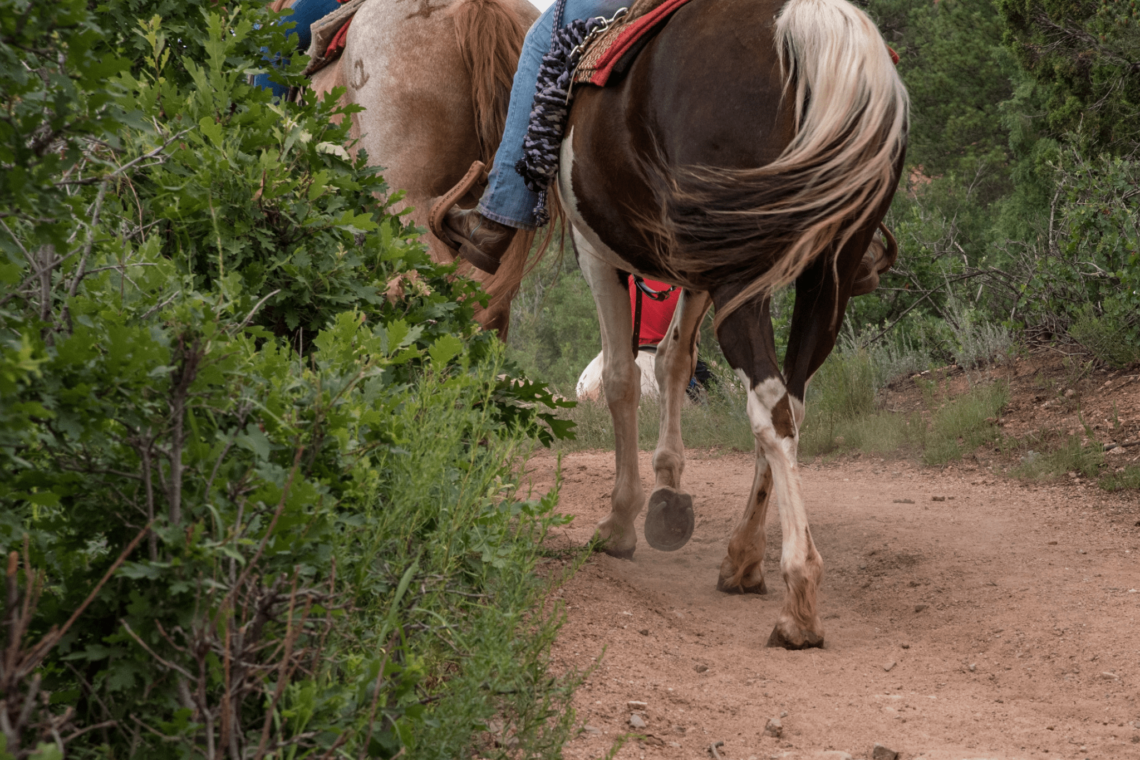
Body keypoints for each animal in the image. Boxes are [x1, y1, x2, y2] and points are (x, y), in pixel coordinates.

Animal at [556, 0, 908, 649]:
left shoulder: (598, 252)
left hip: (743, 277)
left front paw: (620, 521)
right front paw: (668, 498)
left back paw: (798, 598)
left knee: (770, 405)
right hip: (826, 280)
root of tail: (812, 26)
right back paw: (743, 558)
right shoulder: (694, 271)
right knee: (792, 402)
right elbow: (673, 360)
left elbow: (621, 378)